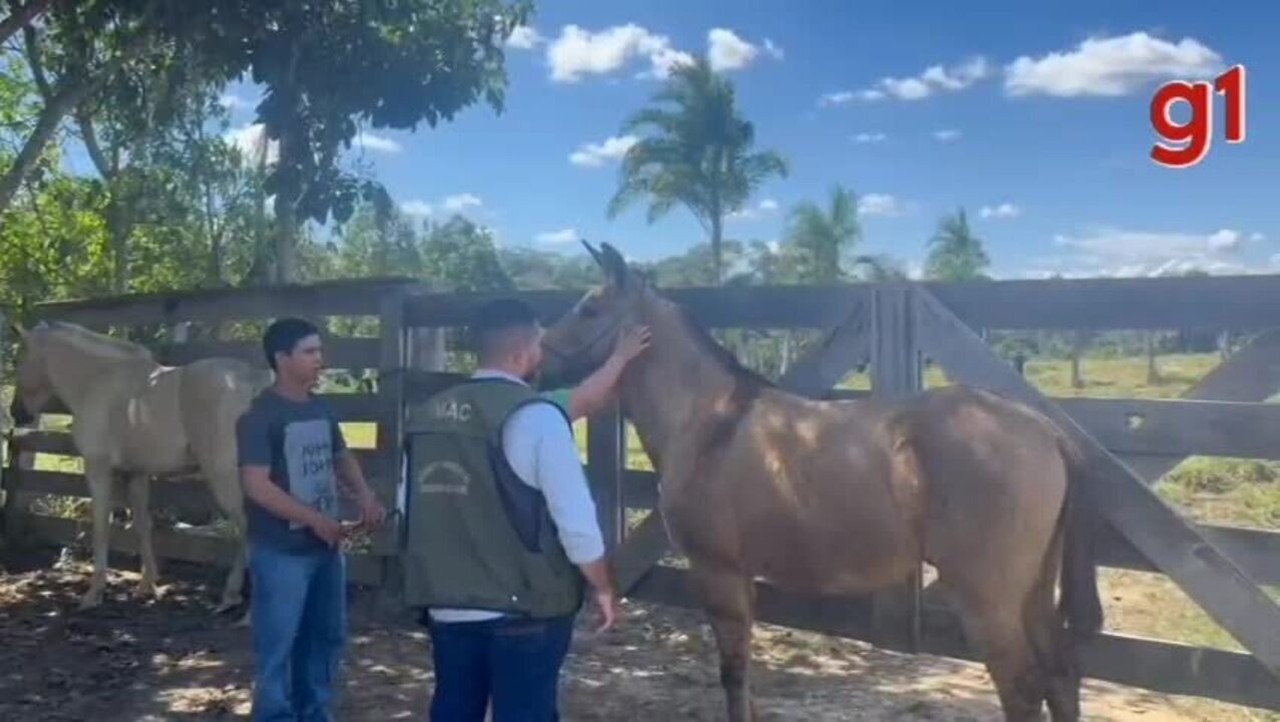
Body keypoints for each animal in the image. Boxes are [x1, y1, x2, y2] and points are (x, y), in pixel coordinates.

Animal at [8, 320, 273, 613]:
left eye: (19, 360)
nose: (16, 413)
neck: (98, 381)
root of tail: (254, 380)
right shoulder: (136, 474)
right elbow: (141, 525)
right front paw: (147, 584)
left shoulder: (98, 468)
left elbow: (101, 526)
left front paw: (93, 594)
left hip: (223, 474)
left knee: (252, 529)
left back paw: (237, 600)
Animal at [537, 242, 1104, 722]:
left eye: (588, 309)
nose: (538, 363)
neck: (712, 421)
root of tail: (1045, 430)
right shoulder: (741, 578)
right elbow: (744, 672)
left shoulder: (717, 571)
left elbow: (732, 672)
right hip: (1032, 591)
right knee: (1060, 677)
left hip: (989, 599)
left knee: (1023, 690)